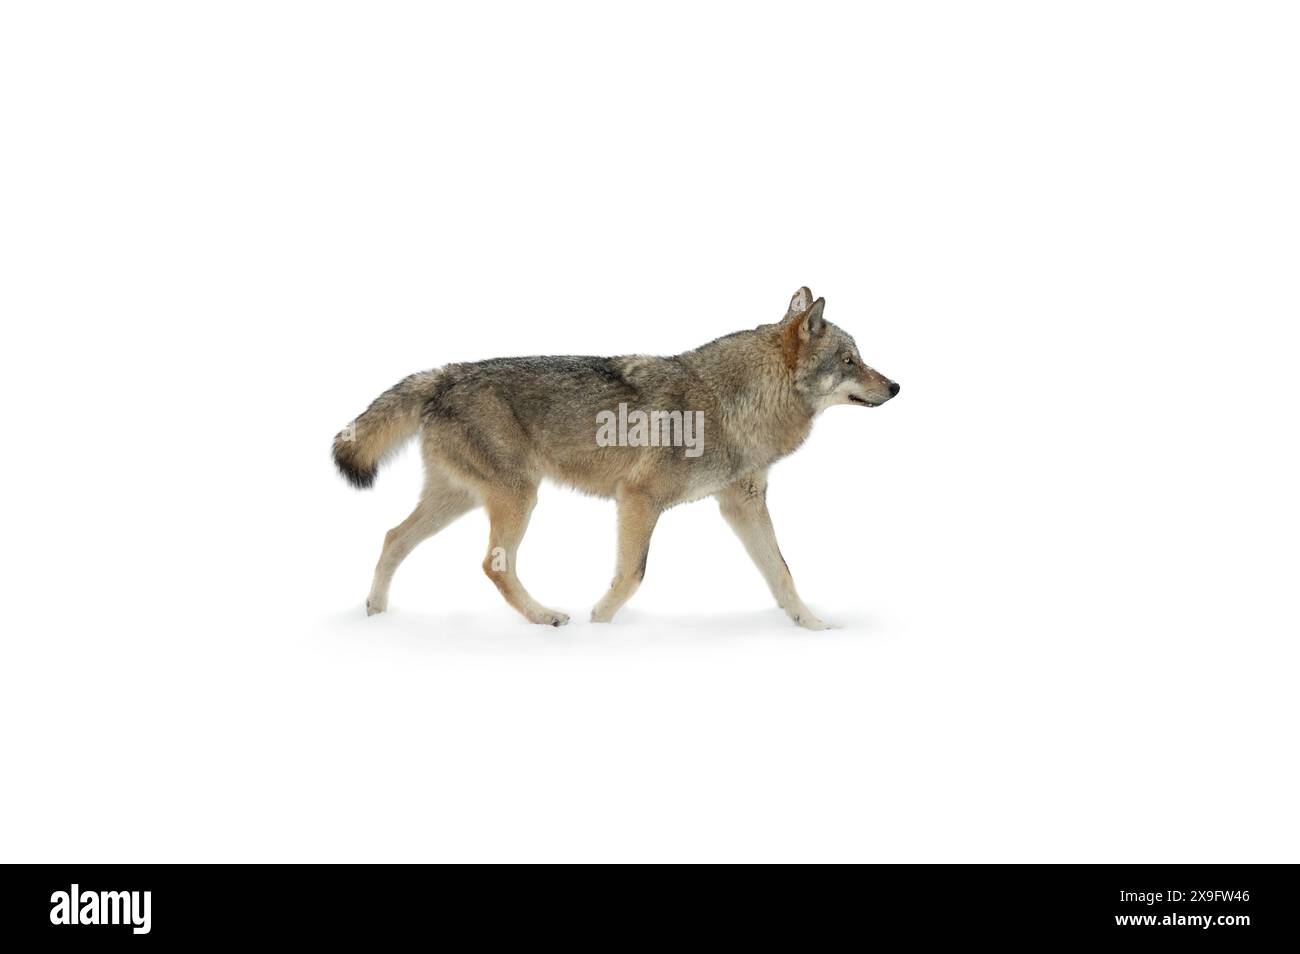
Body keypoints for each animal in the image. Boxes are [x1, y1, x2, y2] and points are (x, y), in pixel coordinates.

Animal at [332, 287, 899, 628]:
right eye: (850, 360)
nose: (895, 386)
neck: (733, 402)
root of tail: (444, 373)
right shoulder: (638, 499)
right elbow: (632, 575)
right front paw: (599, 625)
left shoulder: (743, 504)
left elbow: (783, 575)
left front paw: (817, 628)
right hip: (519, 497)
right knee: (491, 566)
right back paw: (545, 618)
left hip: (463, 500)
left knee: (392, 538)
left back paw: (375, 614)